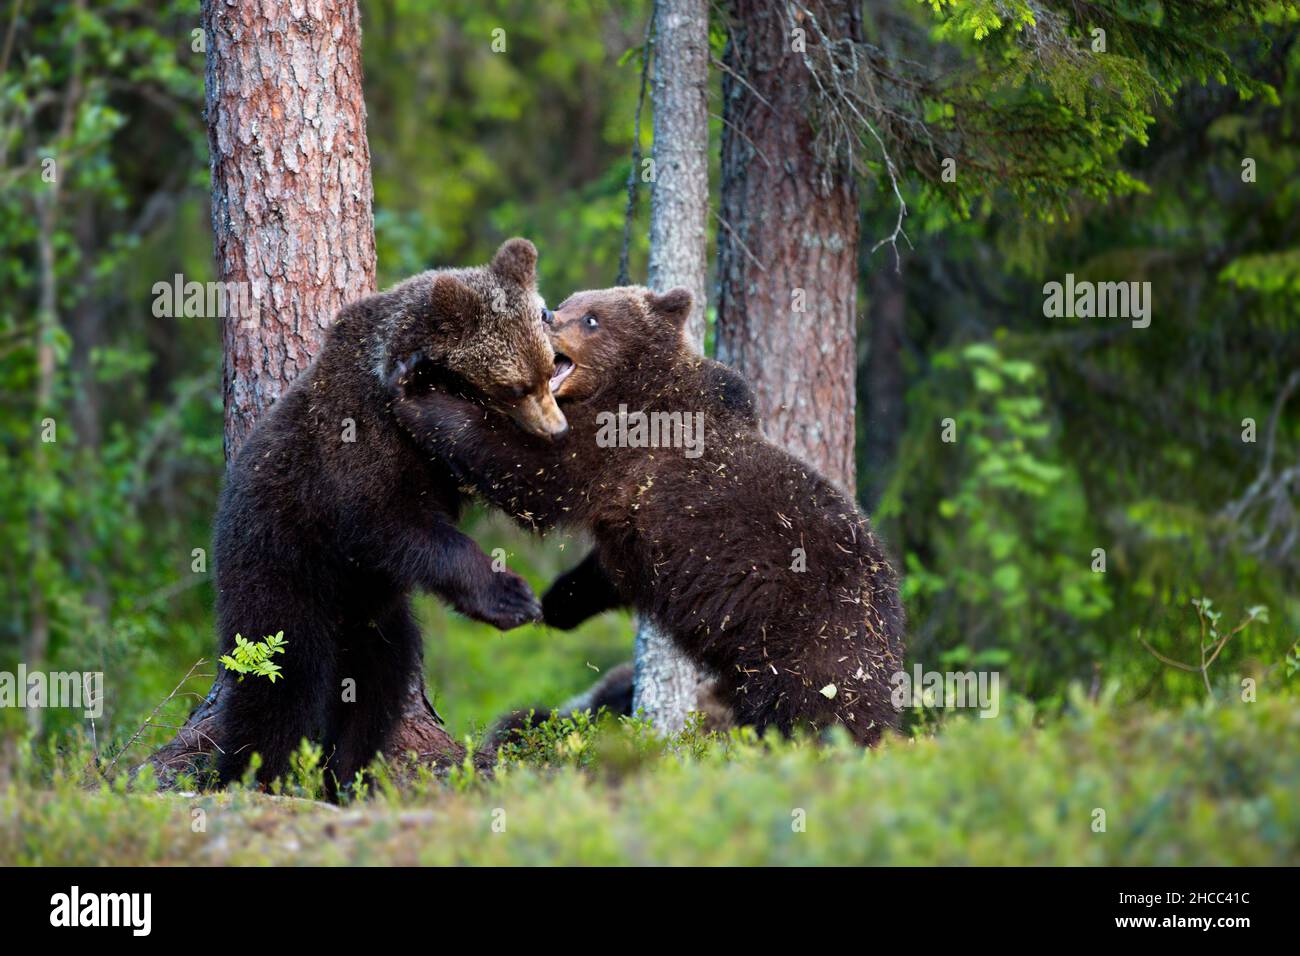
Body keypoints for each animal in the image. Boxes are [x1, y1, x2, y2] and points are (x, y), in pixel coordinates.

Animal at [213, 238, 563, 792]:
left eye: (549, 369)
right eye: (514, 386)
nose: (555, 429)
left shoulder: (441, 458)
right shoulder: (357, 442)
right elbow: (393, 525)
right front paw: (510, 596)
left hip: (372, 617)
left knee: (378, 682)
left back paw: (348, 777)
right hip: (280, 565)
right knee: (279, 676)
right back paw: (248, 776)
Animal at [386, 285, 906, 745]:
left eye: (592, 317)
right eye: (569, 301)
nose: (546, 314)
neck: (632, 385)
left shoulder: (619, 447)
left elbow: (527, 468)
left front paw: (420, 389)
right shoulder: (629, 519)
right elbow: (605, 571)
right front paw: (557, 601)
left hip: (811, 637)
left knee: (819, 711)